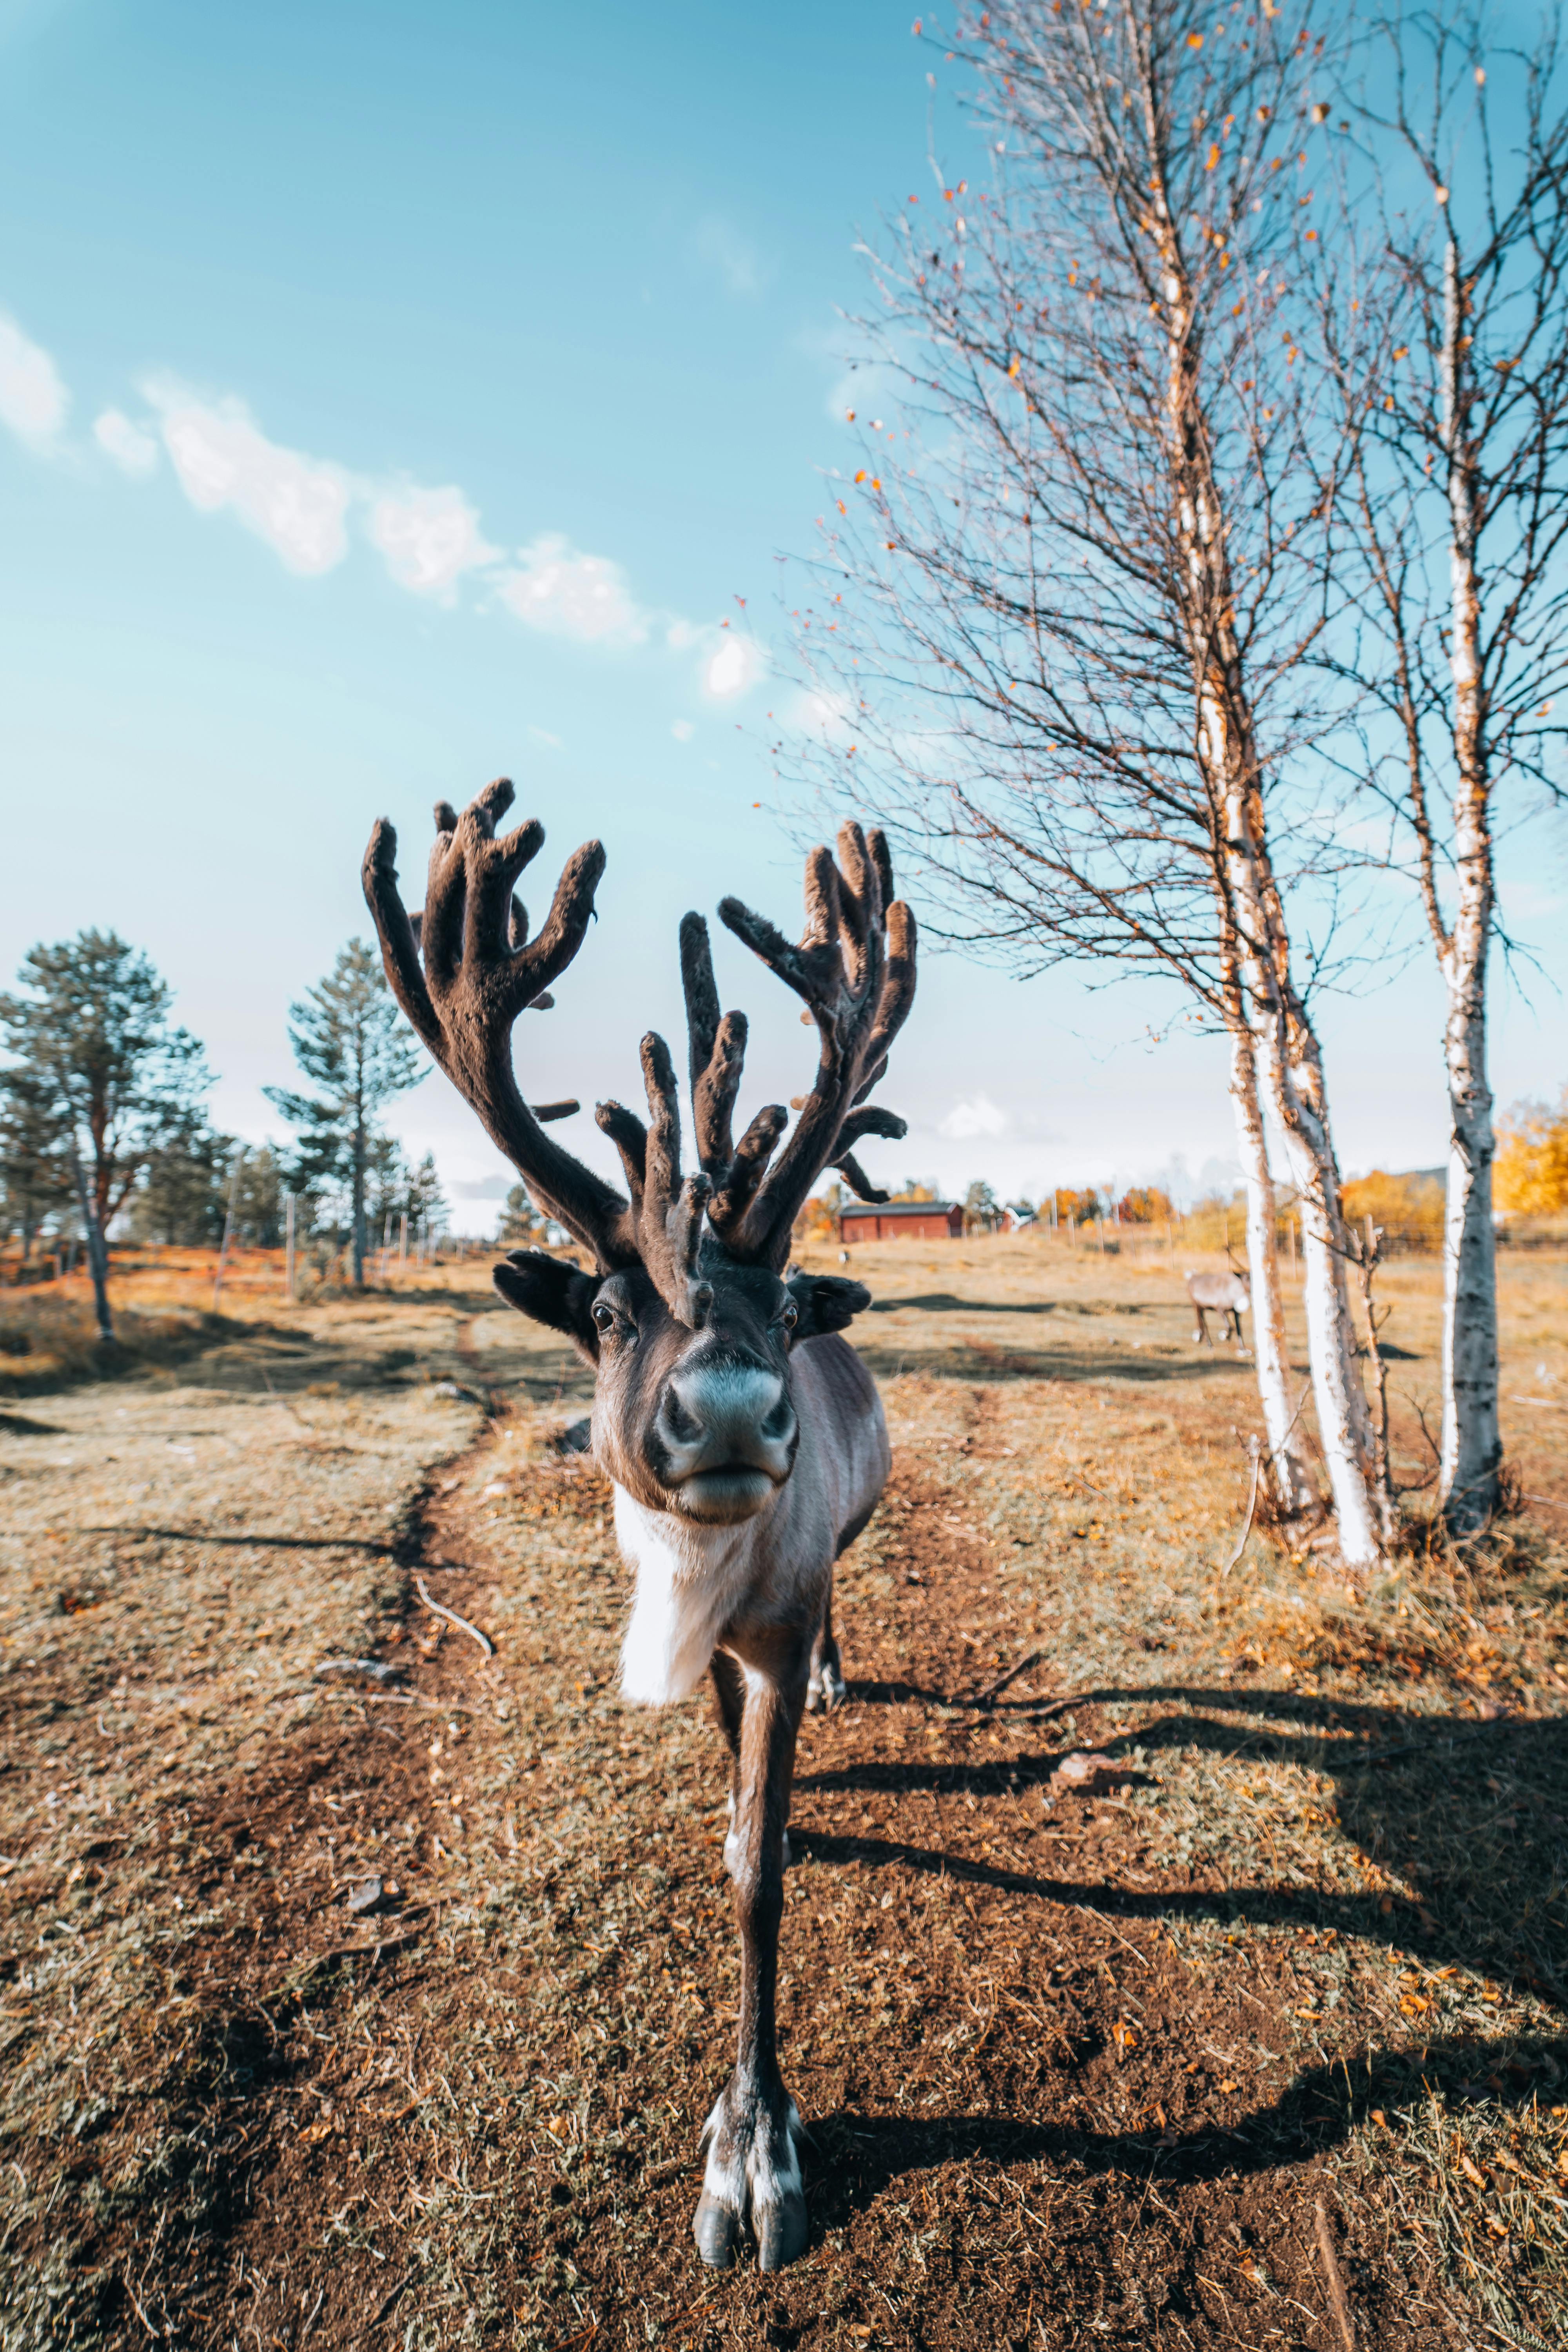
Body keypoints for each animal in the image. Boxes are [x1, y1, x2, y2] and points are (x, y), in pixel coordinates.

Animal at [362, 778, 916, 2274]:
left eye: (779, 1307)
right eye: (609, 1314)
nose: (727, 1409)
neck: (707, 1589)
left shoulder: (772, 1627)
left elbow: (759, 1880)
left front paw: (755, 2146)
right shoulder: (717, 1650)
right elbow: (737, 1819)